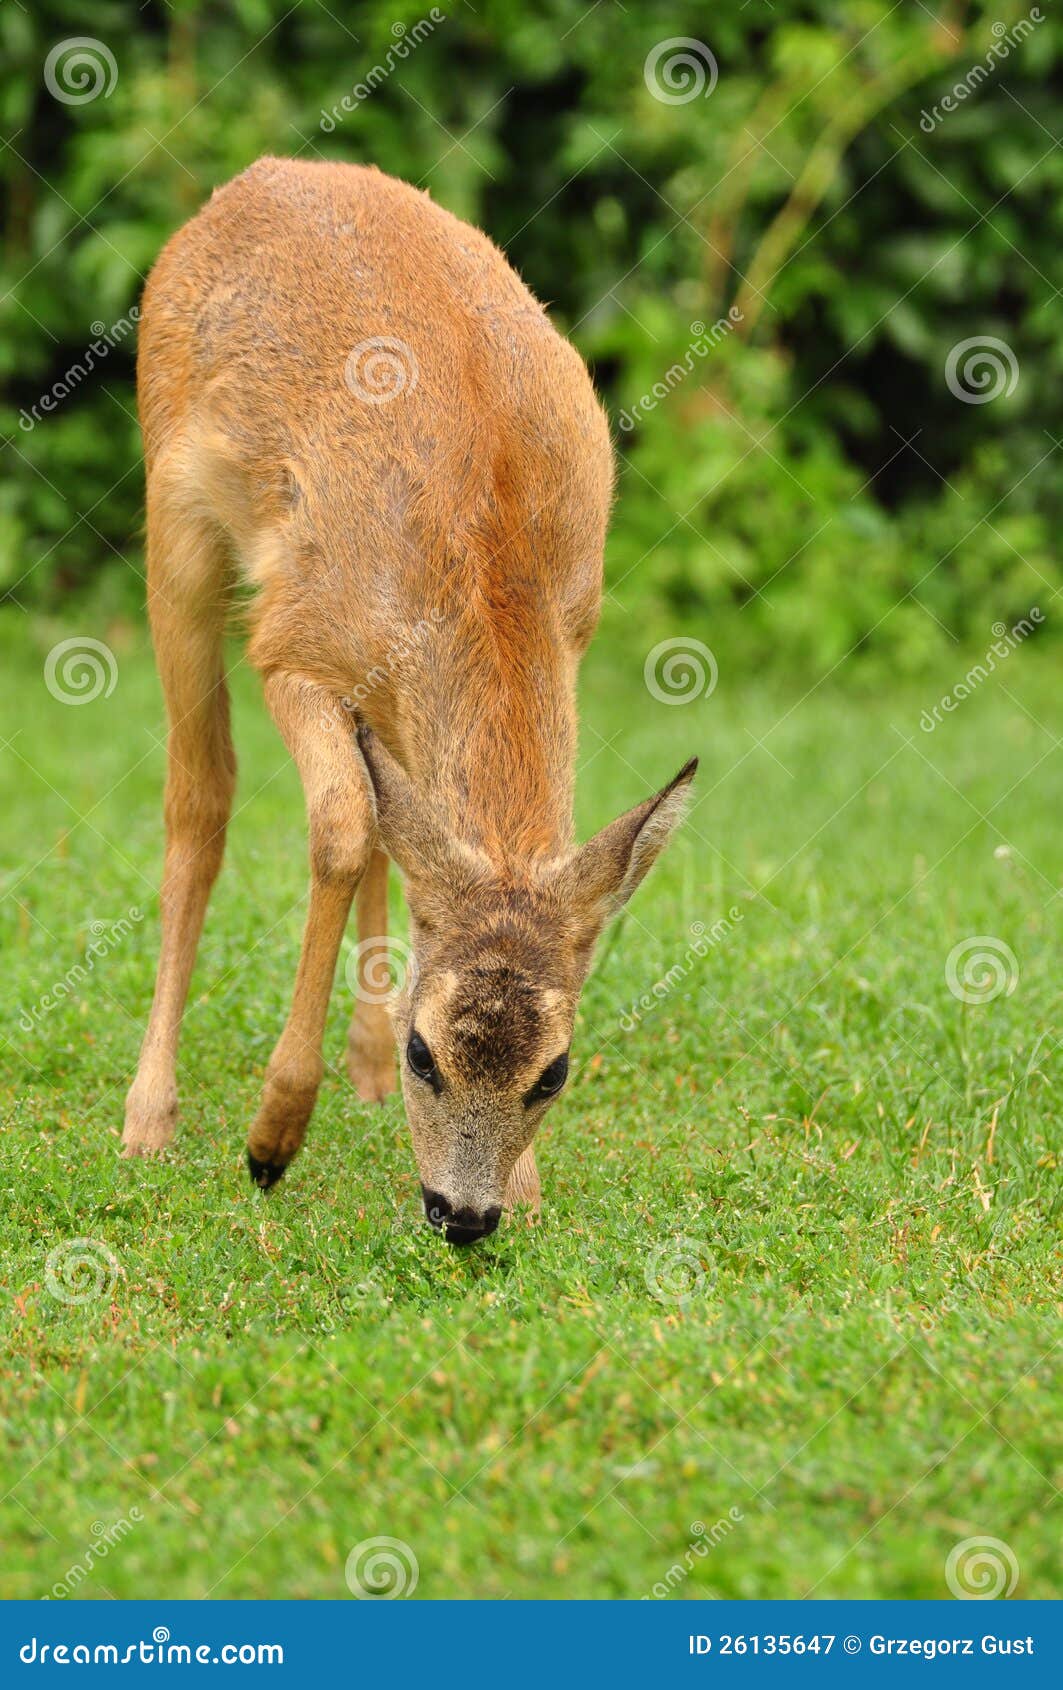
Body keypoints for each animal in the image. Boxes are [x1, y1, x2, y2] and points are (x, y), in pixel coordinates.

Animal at [122, 157, 696, 1243]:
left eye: (554, 1072)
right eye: (430, 1053)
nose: (462, 1213)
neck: (490, 559)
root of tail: (254, 176)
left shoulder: (564, 624)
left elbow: (390, 830)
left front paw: (527, 1180)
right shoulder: (293, 644)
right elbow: (343, 826)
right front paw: (271, 1139)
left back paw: (356, 1066)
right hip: (175, 529)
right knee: (198, 799)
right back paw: (149, 1117)